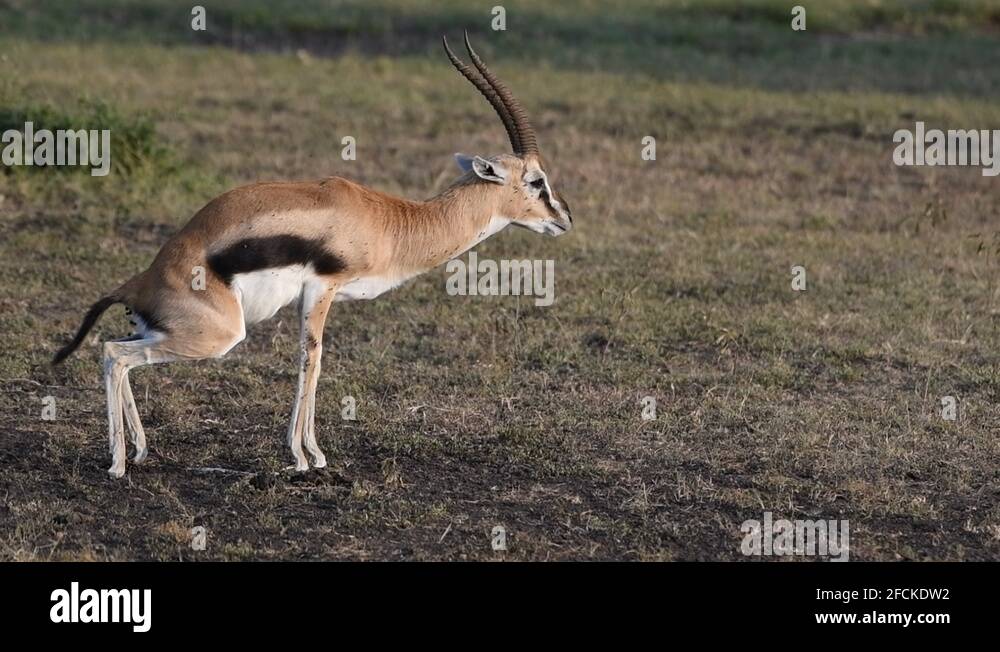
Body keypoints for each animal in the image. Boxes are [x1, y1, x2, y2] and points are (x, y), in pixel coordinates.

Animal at [52, 34, 573, 478]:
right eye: (535, 180)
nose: (564, 217)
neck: (385, 220)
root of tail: (145, 278)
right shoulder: (322, 288)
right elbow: (313, 360)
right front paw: (308, 456)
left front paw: (305, 453)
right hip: (218, 335)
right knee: (113, 354)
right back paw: (118, 464)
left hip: (163, 329)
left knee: (118, 352)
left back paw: (139, 451)